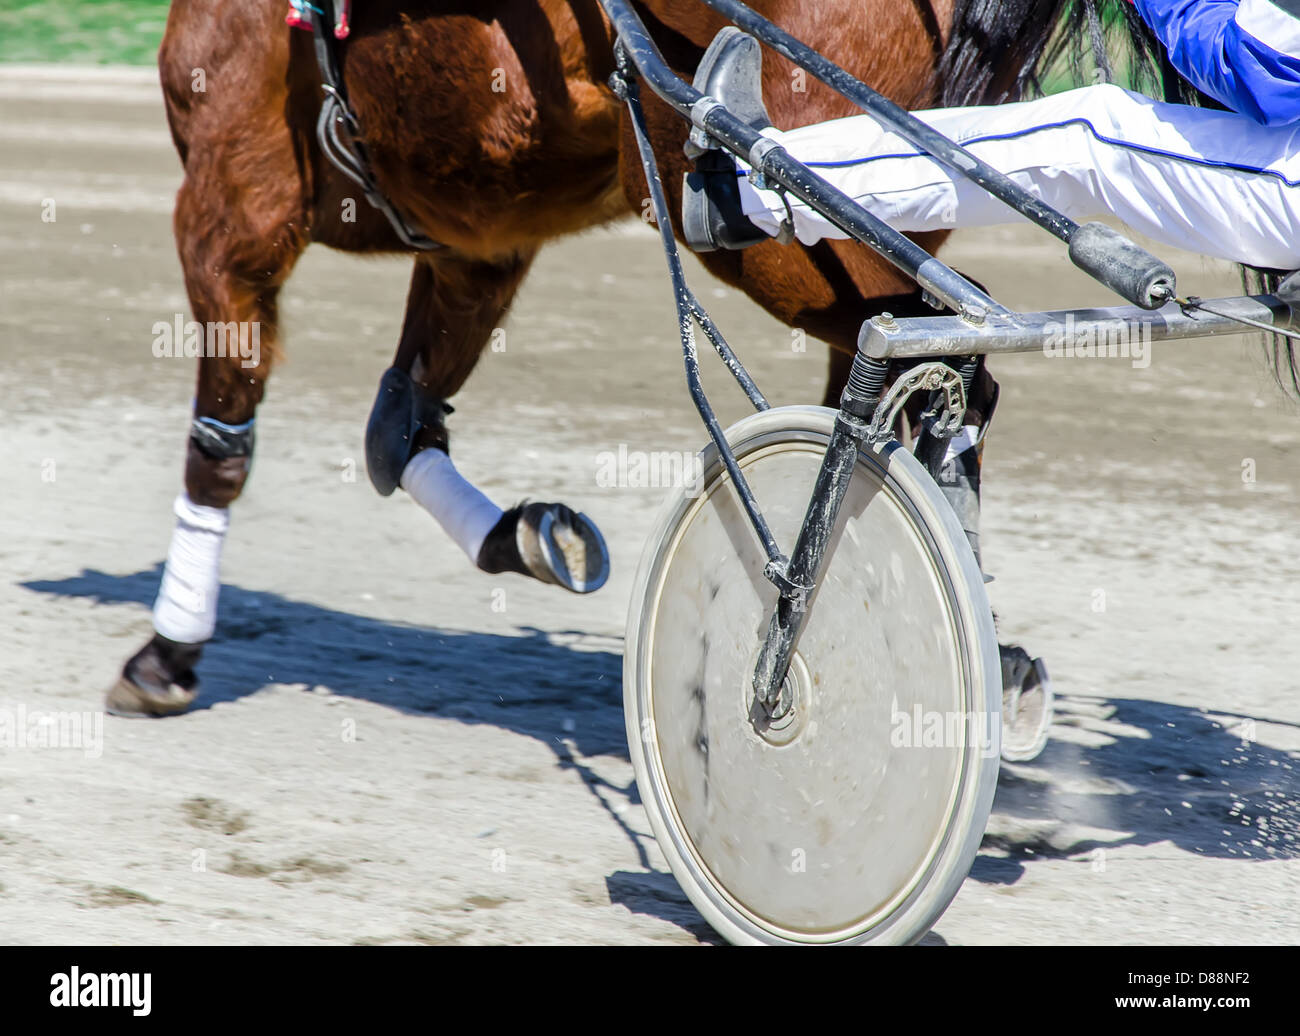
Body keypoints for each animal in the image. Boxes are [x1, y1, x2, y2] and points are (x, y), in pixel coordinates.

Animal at [109, 0, 1170, 712]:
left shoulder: (228, 209)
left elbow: (221, 447)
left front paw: (167, 651)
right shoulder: (475, 242)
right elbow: (397, 428)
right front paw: (531, 535)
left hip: (781, 226)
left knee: (942, 368)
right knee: (903, 385)